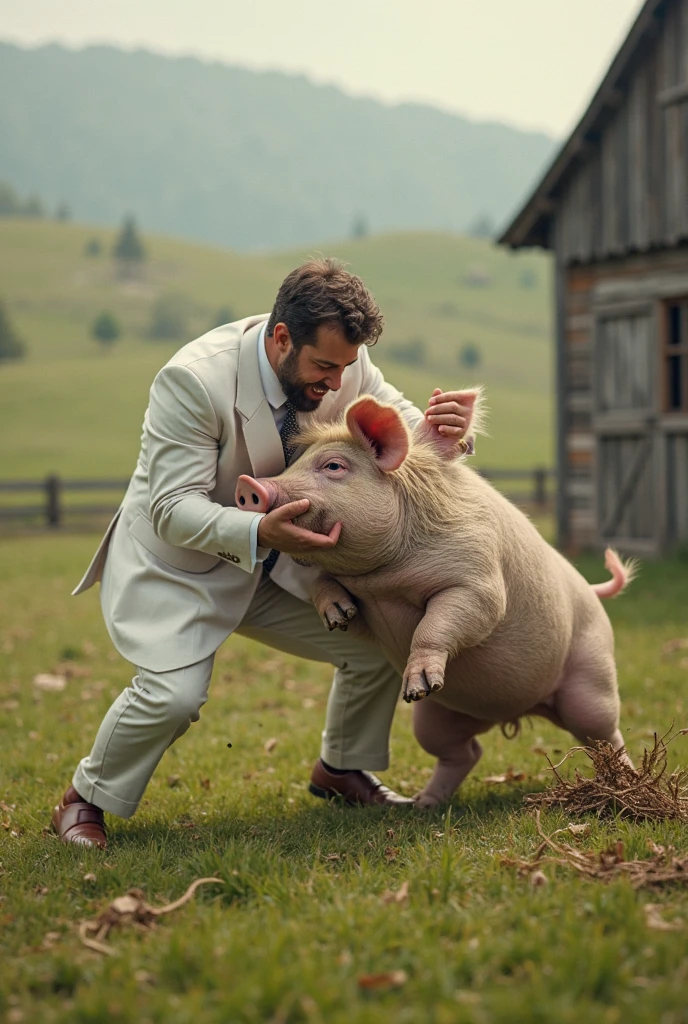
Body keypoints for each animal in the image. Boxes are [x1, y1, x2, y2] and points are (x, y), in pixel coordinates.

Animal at [235, 392, 635, 807]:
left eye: (334, 465)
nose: (250, 484)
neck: (382, 579)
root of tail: (516, 714)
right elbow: (322, 583)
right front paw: (338, 617)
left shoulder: (477, 582)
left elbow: (439, 621)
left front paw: (417, 687)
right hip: (435, 720)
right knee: (467, 752)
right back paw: (422, 804)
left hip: (592, 679)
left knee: (607, 737)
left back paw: (628, 785)